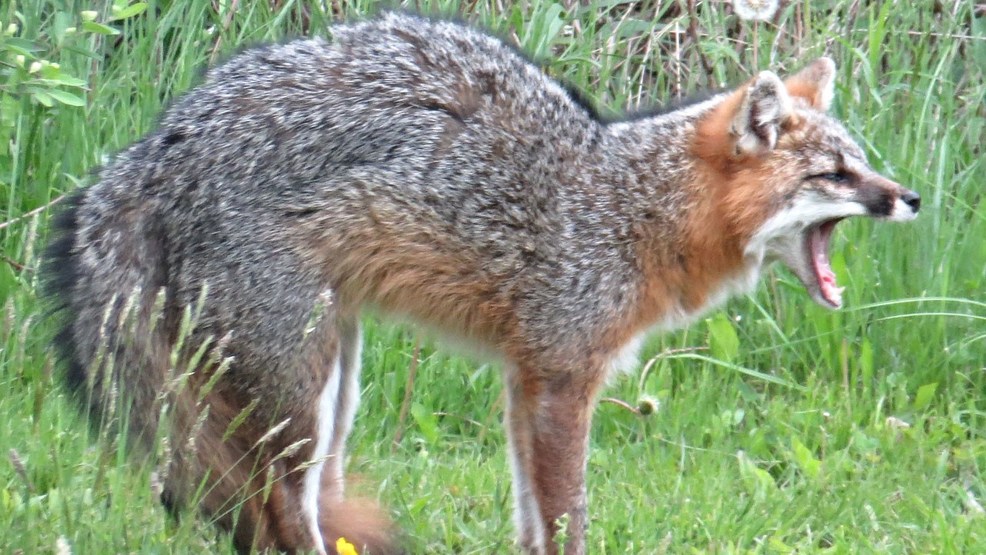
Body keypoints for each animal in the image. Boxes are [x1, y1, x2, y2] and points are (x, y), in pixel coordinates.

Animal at [43, 12, 920, 555]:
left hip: (335, 388)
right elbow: (567, 516)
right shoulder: (562, 381)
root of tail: (151, 147)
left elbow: (532, 517)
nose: (909, 196)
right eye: (835, 174)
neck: (633, 206)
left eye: (862, 162)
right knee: (281, 510)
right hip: (301, 391)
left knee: (277, 502)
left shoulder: (523, 379)